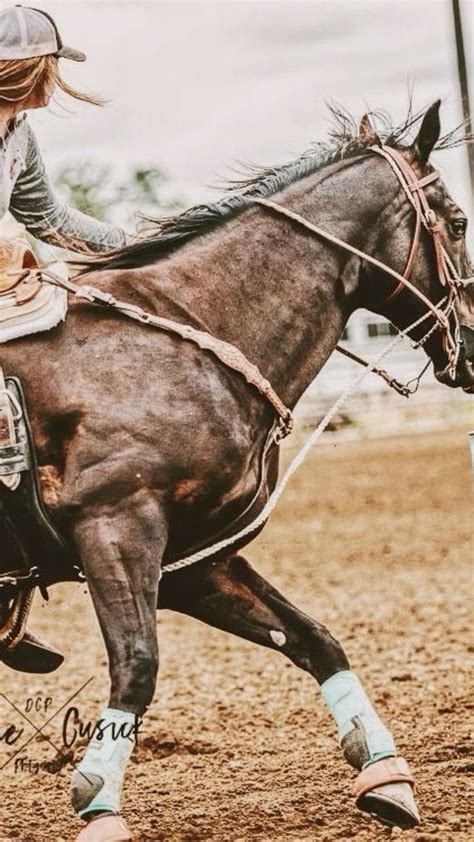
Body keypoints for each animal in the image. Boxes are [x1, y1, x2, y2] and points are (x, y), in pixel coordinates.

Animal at [0, 101, 473, 842]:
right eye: (456, 220)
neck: (187, 336)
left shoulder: (191, 557)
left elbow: (313, 638)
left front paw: (387, 777)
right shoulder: (116, 527)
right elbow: (137, 664)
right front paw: (99, 805)